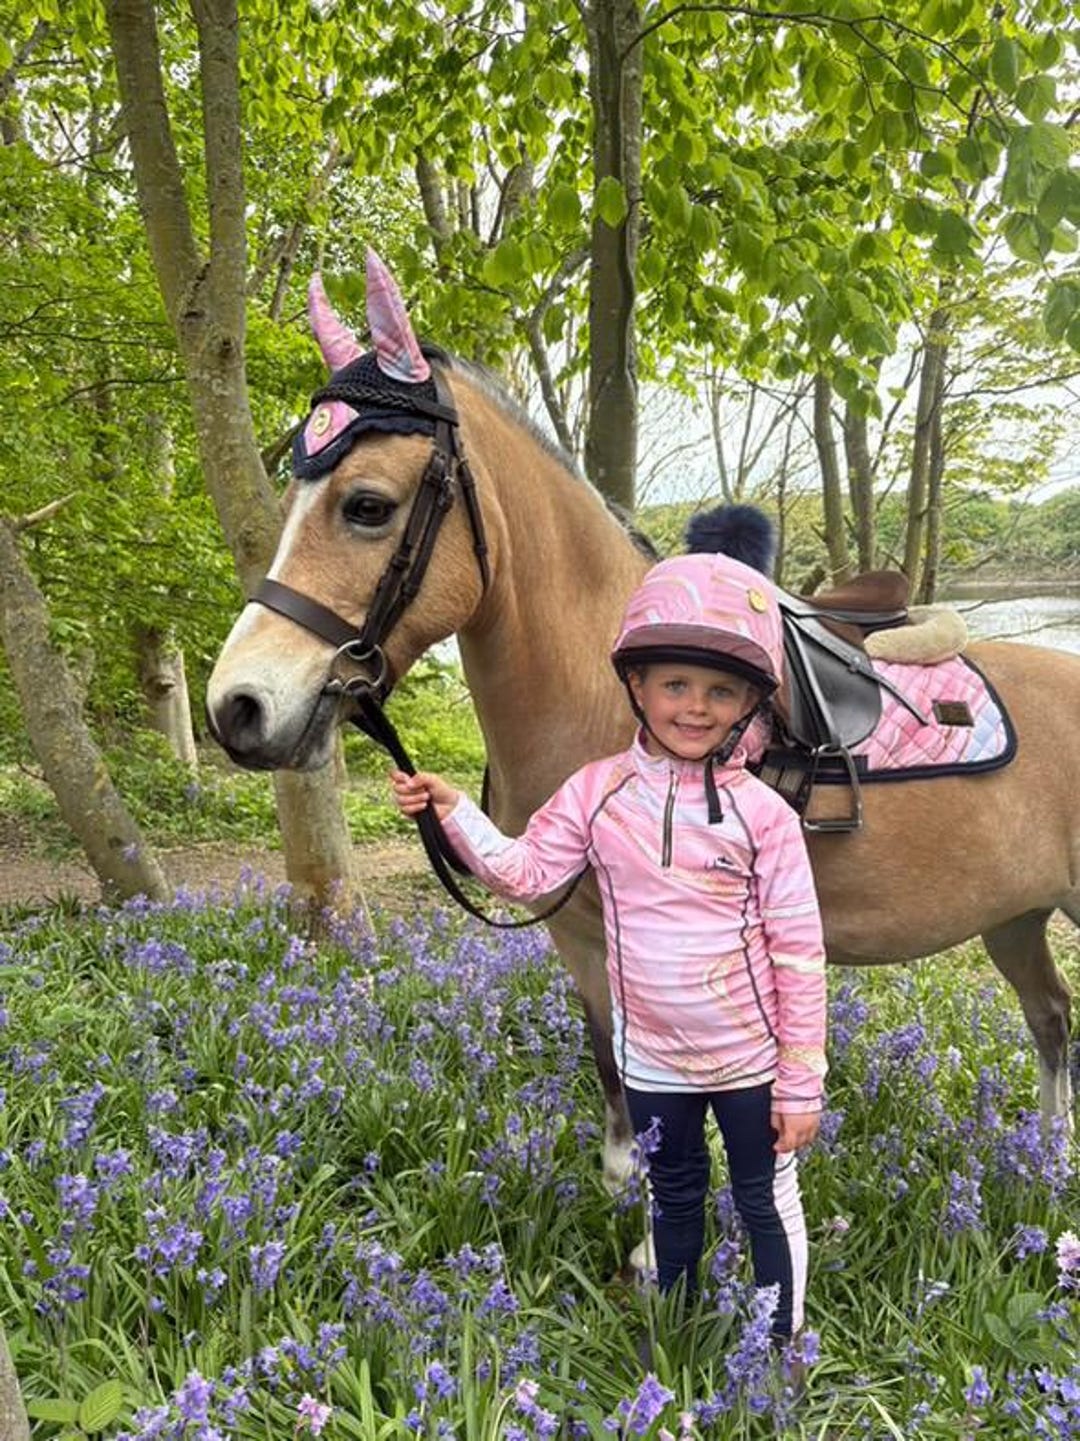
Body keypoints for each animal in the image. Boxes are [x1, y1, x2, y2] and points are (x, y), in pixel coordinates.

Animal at [207, 255, 1076, 1189]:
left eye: (366, 504)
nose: (237, 706)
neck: (610, 688)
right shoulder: (583, 938)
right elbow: (621, 1106)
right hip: (1015, 915)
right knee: (1051, 1014)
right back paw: (1047, 1159)